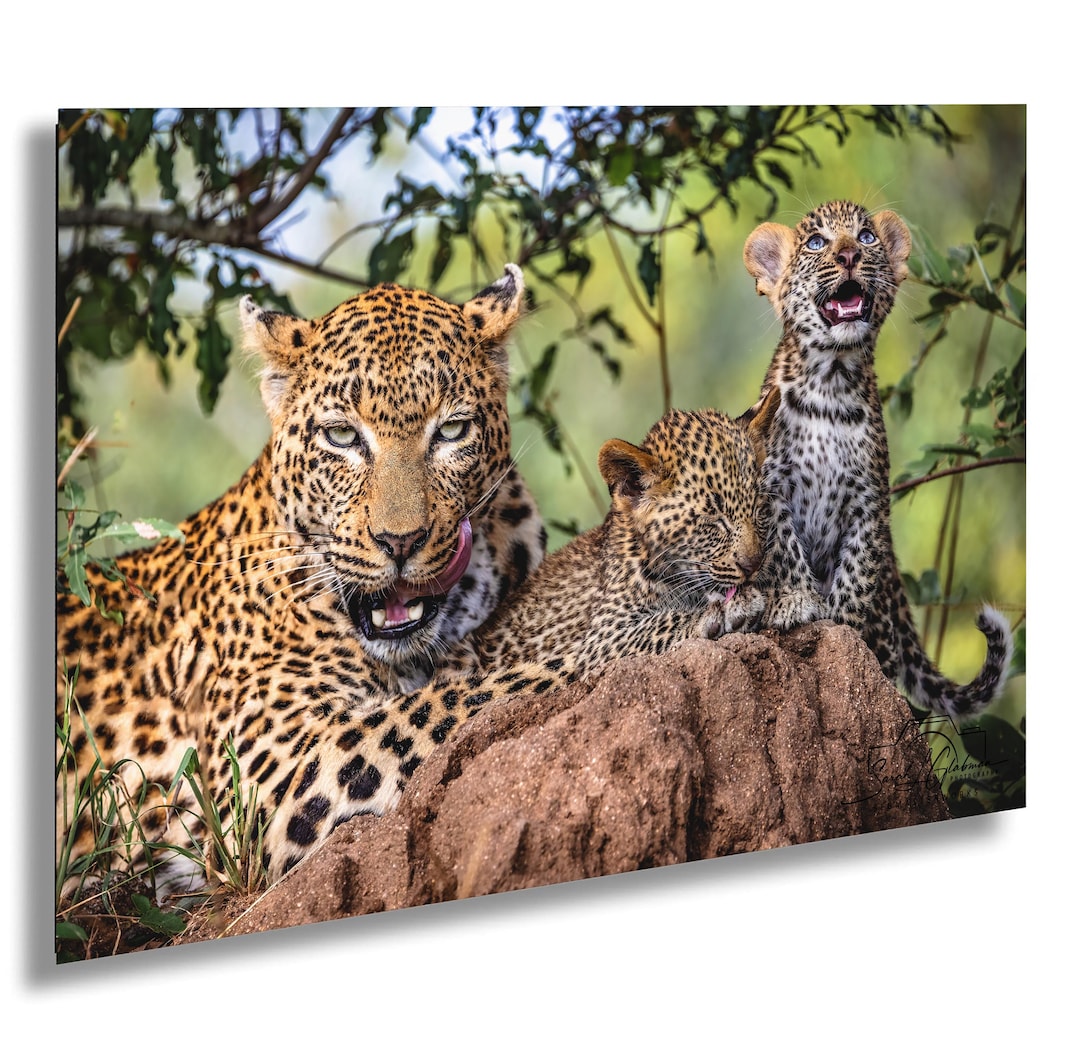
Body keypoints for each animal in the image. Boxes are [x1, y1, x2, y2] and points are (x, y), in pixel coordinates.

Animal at [741, 198, 1012, 722]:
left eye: (866, 237)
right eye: (816, 242)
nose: (849, 255)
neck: (830, 381)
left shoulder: (869, 497)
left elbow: (856, 565)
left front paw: (844, 625)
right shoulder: (772, 486)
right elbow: (785, 549)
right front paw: (799, 604)